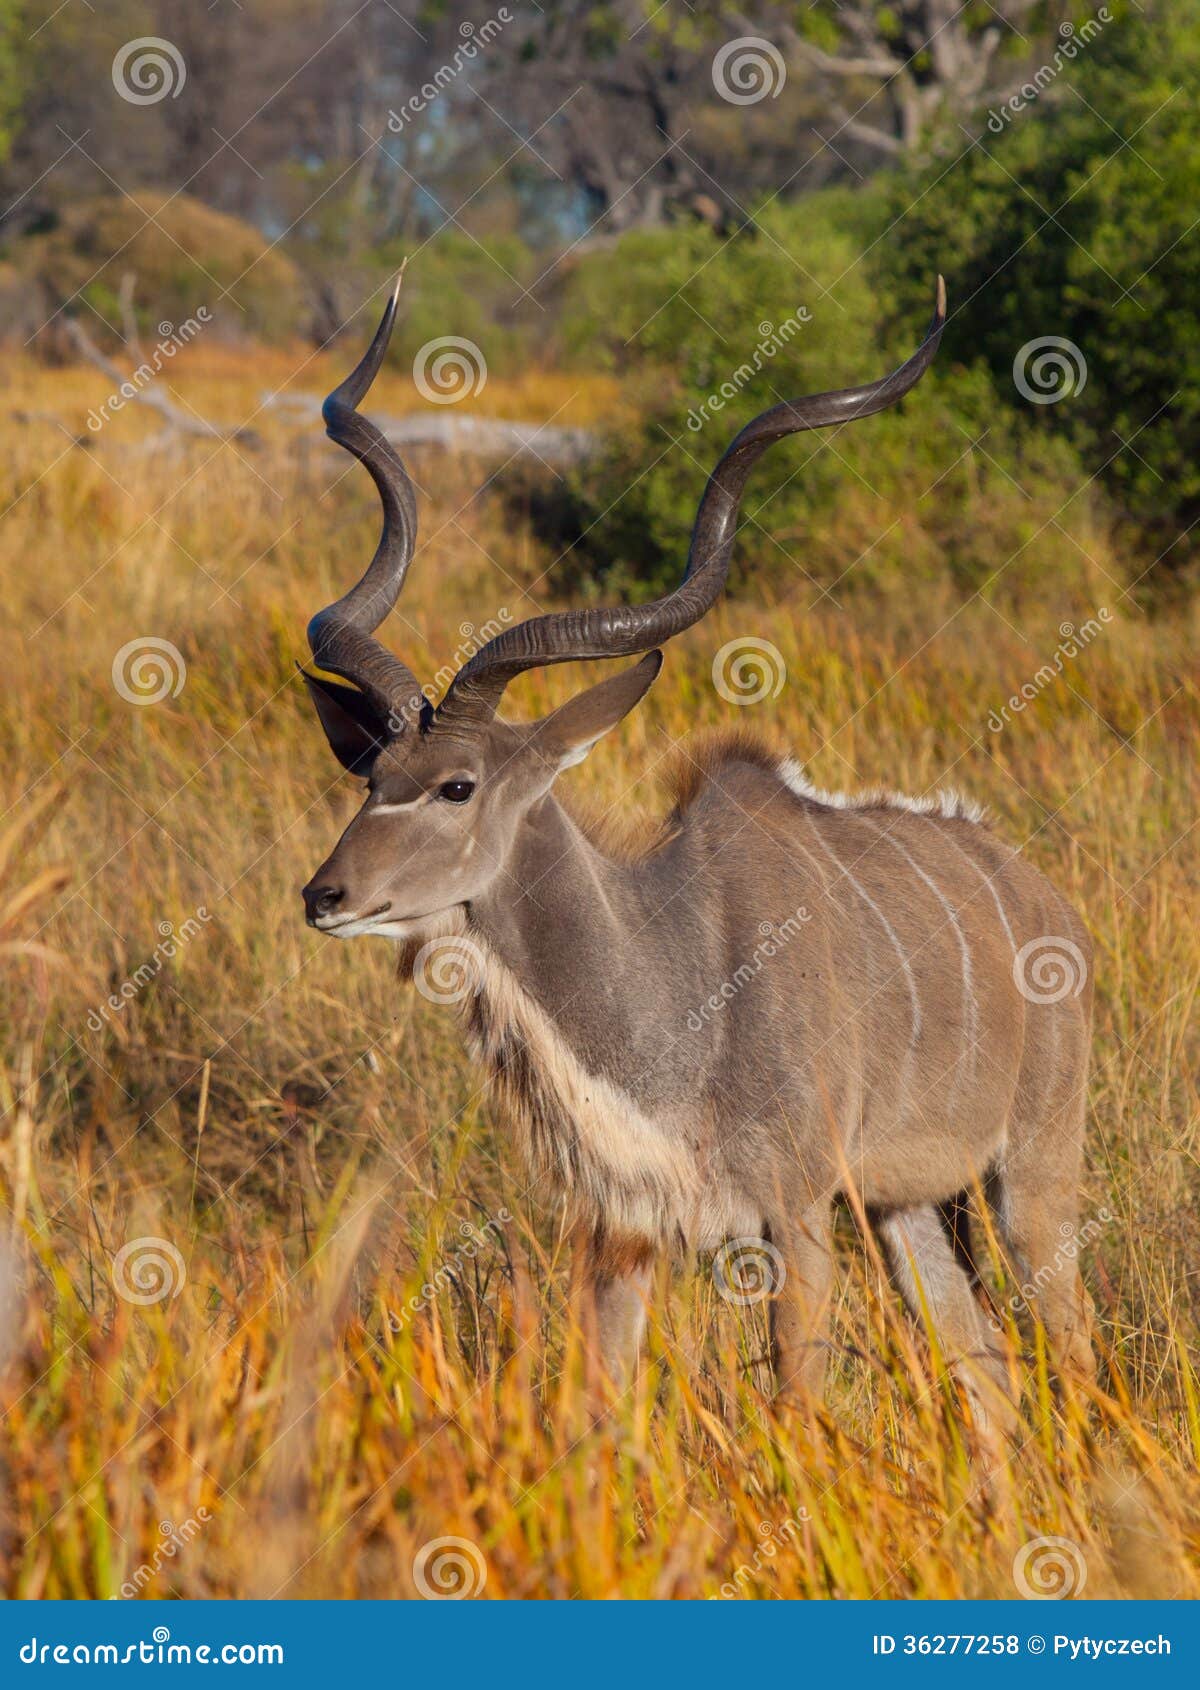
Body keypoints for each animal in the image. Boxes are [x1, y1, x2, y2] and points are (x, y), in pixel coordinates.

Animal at [299, 278, 1096, 1425]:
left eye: (457, 785)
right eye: (369, 776)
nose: (325, 895)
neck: (669, 978)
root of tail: (1044, 898)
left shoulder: (795, 1215)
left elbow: (798, 1401)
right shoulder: (622, 1233)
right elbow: (596, 1409)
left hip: (1031, 1178)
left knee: (1070, 1352)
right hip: (905, 1208)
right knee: (985, 1372)